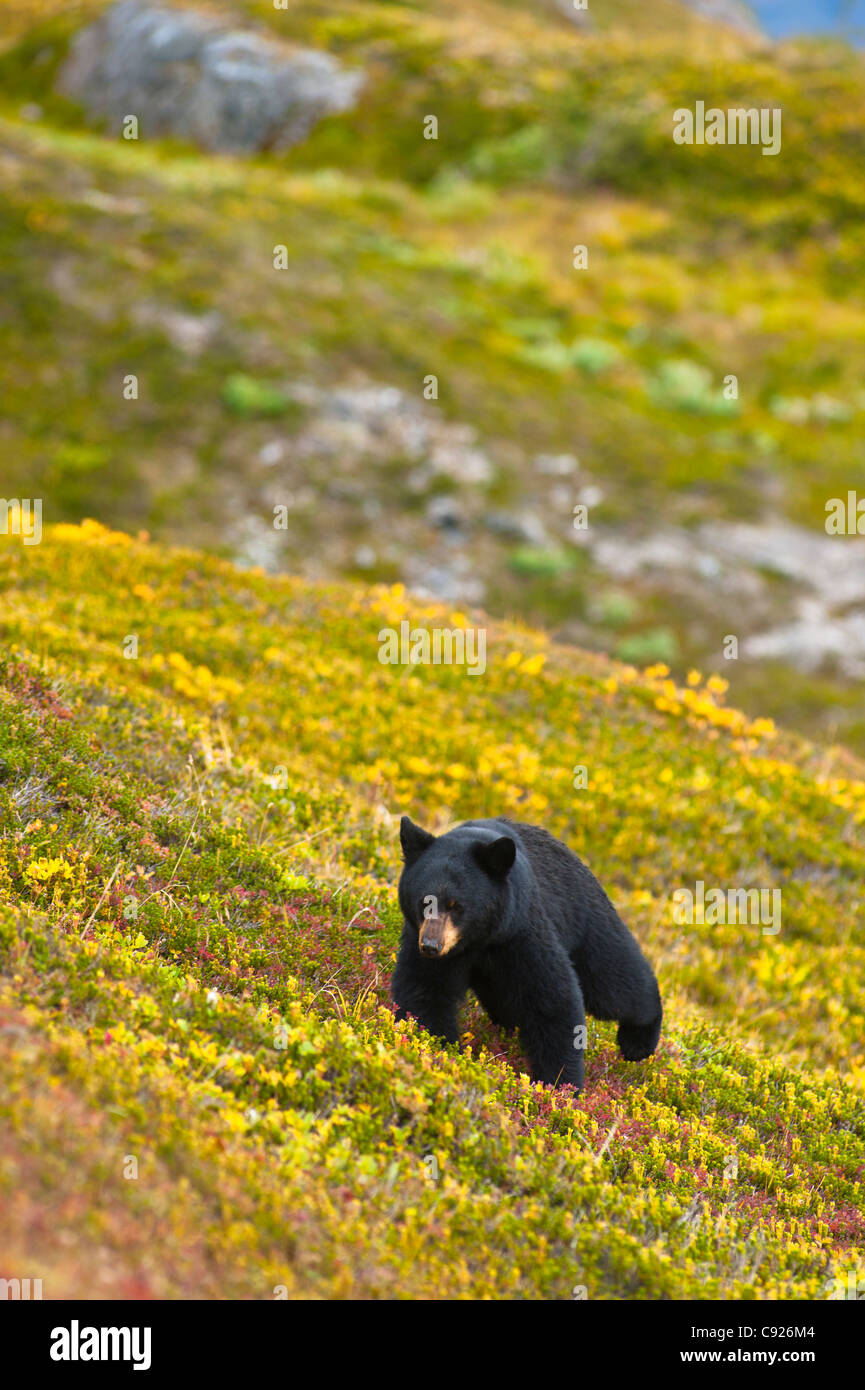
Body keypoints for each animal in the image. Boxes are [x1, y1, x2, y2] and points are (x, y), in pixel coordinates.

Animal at [390, 815, 662, 1093]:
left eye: (456, 906)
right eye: (425, 902)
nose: (431, 945)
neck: (480, 940)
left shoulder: (522, 932)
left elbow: (553, 1001)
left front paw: (559, 1085)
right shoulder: (424, 942)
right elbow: (424, 990)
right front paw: (435, 1046)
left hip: (586, 922)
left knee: (615, 981)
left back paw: (638, 1042)